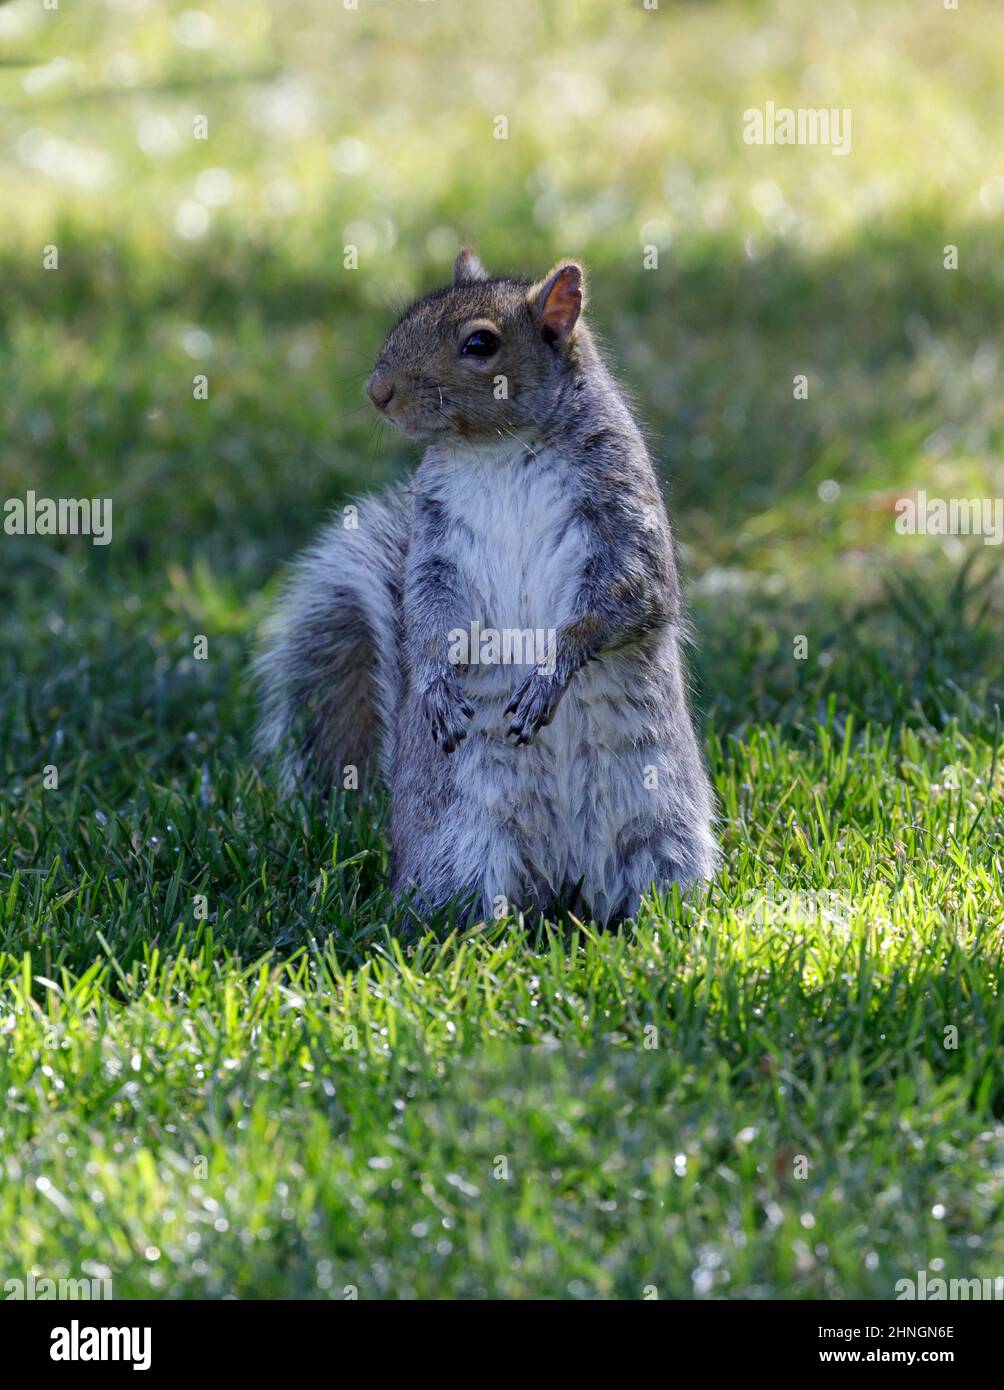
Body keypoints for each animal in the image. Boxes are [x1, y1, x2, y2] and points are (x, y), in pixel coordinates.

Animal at [255, 247, 718, 925]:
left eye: (481, 343)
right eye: (408, 316)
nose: (378, 392)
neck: (499, 450)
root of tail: (563, 881)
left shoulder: (621, 513)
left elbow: (629, 596)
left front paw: (552, 670)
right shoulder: (438, 543)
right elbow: (425, 612)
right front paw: (434, 684)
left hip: (661, 823)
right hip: (465, 838)